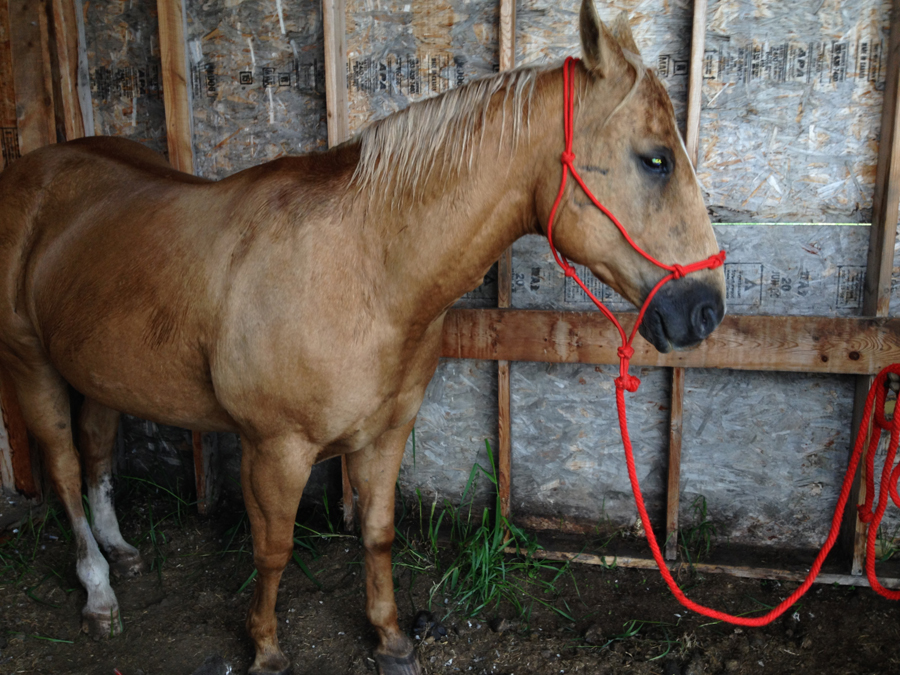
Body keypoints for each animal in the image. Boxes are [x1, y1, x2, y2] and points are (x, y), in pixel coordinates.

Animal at [0, 1, 725, 673]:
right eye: (656, 160)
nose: (706, 311)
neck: (366, 269)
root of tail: (31, 173)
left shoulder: (387, 432)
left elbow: (377, 534)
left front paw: (392, 638)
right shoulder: (276, 448)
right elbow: (274, 548)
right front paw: (265, 647)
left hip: (95, 371)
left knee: (96, 453)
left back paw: (120, 550)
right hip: (32, 368)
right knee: (65, 471)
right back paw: (98, 593)